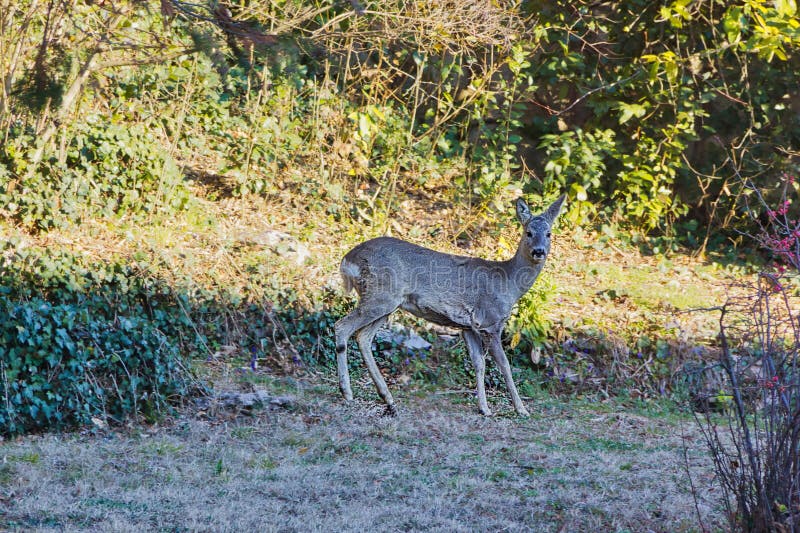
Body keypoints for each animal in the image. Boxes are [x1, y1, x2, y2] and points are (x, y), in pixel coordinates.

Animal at [335, 194, 565, 416]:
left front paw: (484, 409)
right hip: (380, 295)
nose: (539, 251)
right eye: (528, 232)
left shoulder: (468, 327)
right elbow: (505, 365)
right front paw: (521, 409)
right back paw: (347, 392)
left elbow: (479, 364)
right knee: (342, 326)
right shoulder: (490, 322)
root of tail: (347, 260)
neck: (509, 283)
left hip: (387, 302)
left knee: (363, 337)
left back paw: (387, 399)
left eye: (549, 234)